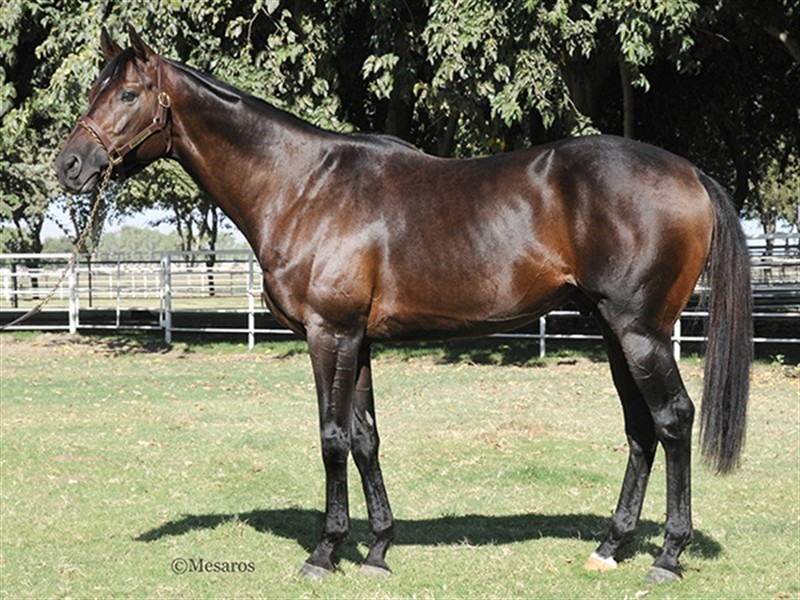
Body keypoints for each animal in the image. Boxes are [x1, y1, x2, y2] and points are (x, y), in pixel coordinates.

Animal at [55, 27, 752, 583]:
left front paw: (325, 553)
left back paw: (668, 556)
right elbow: (366, 438)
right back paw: (610, 547)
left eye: (127, 95)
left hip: (641, 333)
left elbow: (332, 437)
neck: (302, 186)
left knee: (673, 421)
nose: (69, 165)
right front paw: (377, 549)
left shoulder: (329, 334)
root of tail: (689, 173)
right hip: (611, 330)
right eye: (95, 89)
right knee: (640, 429)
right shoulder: (357, 340)